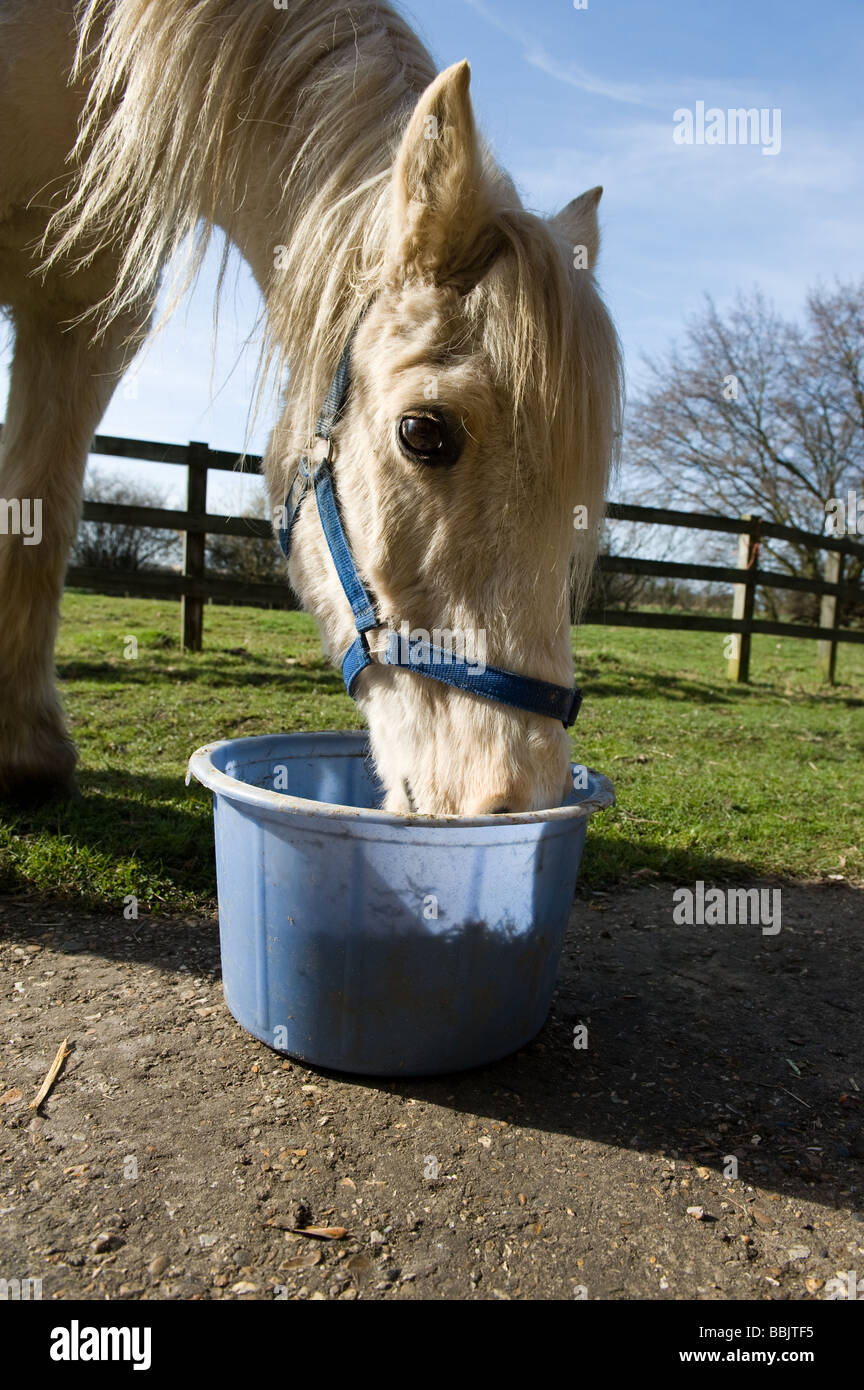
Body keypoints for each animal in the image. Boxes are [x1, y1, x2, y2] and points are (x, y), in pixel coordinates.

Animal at [0, 0, 621, 815]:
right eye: (423, 433)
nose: (519, 796)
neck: (87, 47)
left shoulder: (84, 301)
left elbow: (39, 512)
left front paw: (26, 751)